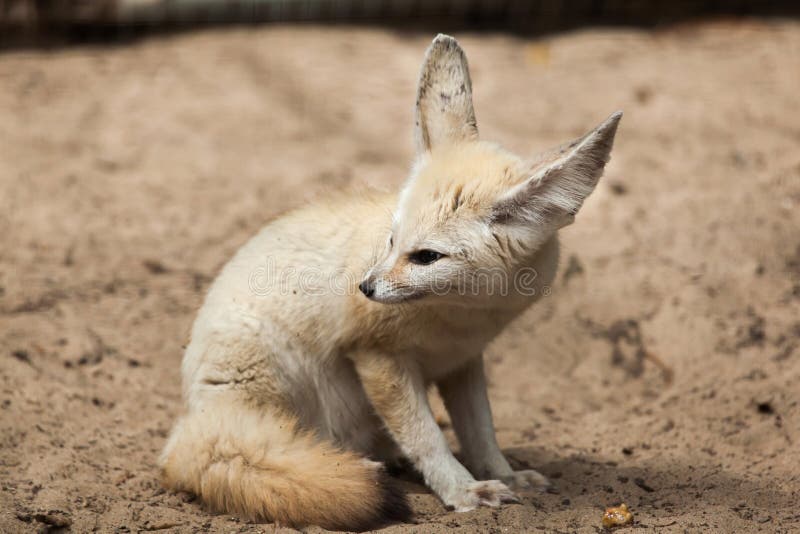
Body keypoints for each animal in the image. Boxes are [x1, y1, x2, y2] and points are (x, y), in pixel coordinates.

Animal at [159, 34, 621, 530]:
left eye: (426, 257)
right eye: (392, 239)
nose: (365, 289)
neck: (462, 318)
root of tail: (191, 424)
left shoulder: (464, 362)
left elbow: (481, 432)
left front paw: (504, 475)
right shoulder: (377, 357)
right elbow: (426, 436)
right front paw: (461, 489)